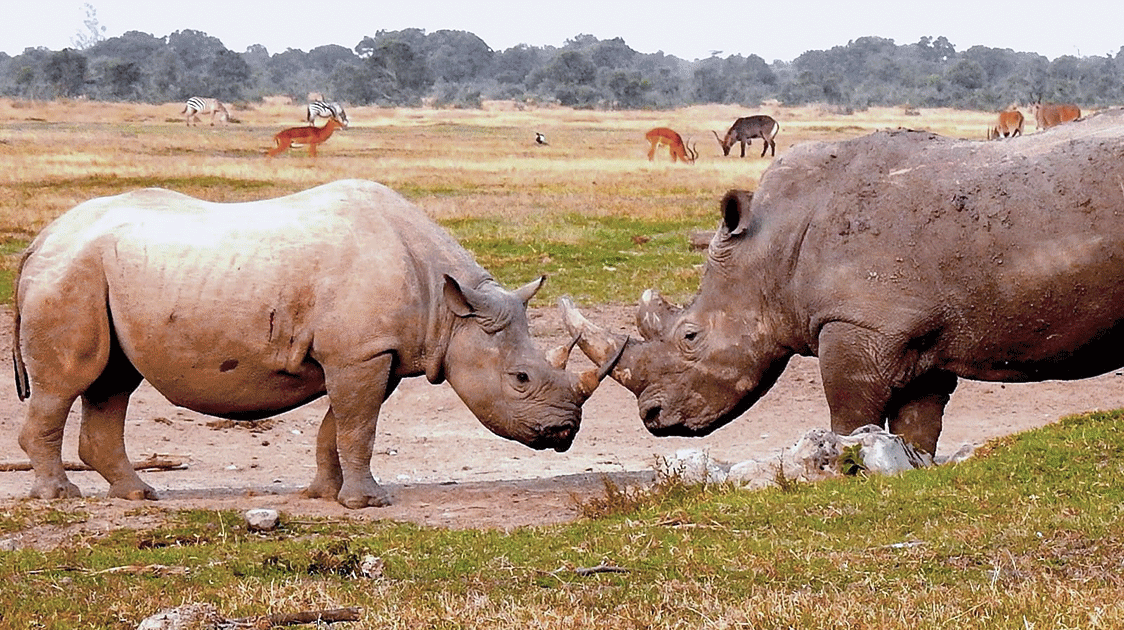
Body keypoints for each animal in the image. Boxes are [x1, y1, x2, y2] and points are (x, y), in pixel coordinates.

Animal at [13, 179, 620, 508]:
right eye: (520, 379)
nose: (564, 434)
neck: (452, 309)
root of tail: (42, 238)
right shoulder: (361, 353)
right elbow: (359, 427)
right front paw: (370, 504)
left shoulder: (370, 354)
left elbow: (338, 427)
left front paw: (325, 497)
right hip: (72, 272)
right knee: (68, 381)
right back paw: (60, 497)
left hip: (101, 274)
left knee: (112, 380)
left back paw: (137, 495)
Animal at [562, 109, 1124, 454]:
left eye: (690, 336)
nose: (652, 417)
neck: (770, 251)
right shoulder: (918, 334)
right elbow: (918, 426)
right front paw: (907, 466)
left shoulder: (861, 323)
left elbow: (849, 412)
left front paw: (845, 462)